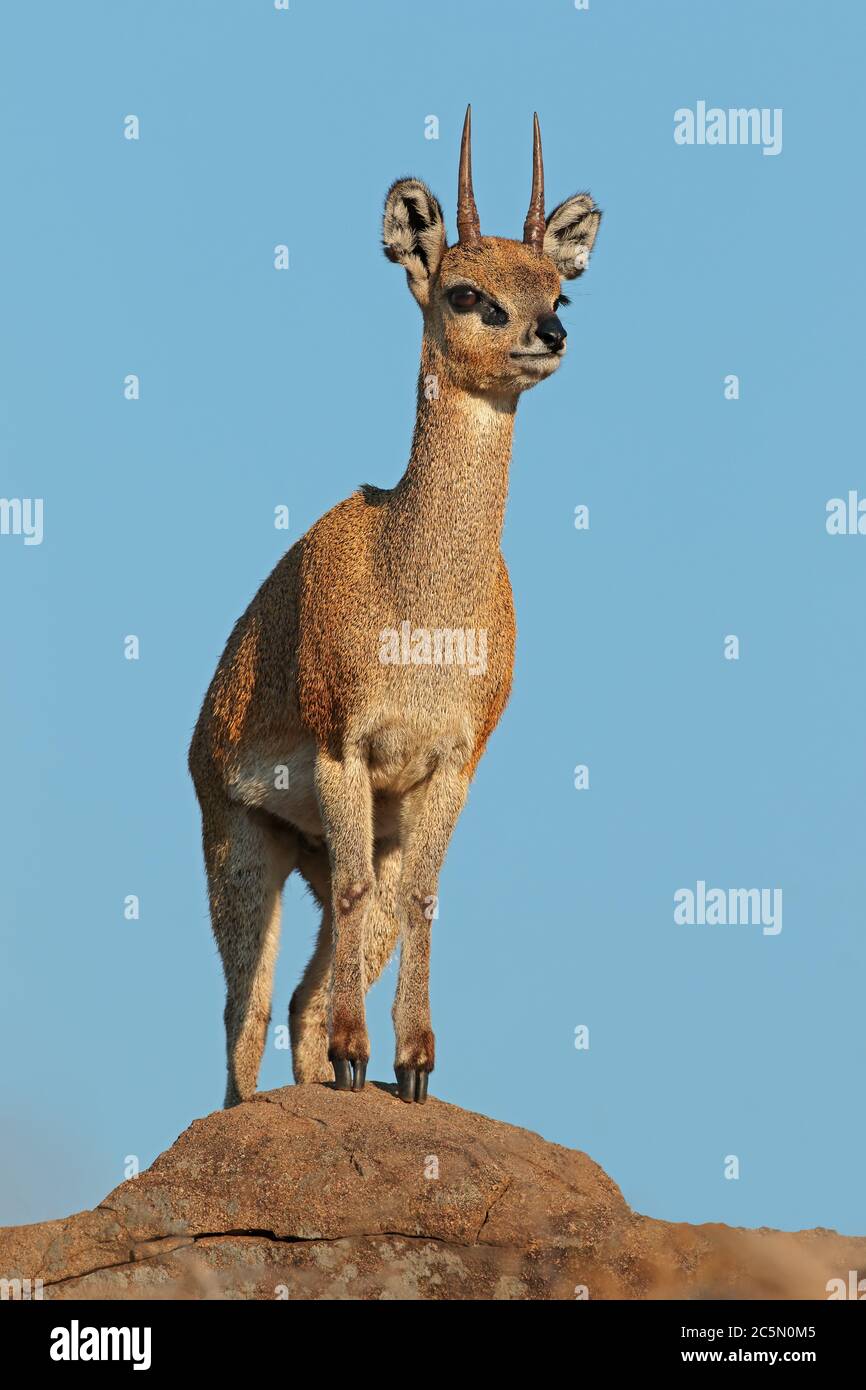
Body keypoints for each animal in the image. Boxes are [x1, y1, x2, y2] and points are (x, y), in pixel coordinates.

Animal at [189, 108, 601, 1106]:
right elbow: (346, 901)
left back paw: (341, 1069)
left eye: (558, 293)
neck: (421, 605)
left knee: (301, 996)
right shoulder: (347, 748)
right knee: (246, 1017)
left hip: (355, 837)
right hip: (243, 847)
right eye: (465, 291)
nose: (548, 337)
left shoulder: (447, 770)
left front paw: (412, 1062)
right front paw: (365, 1050)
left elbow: (421, 897)